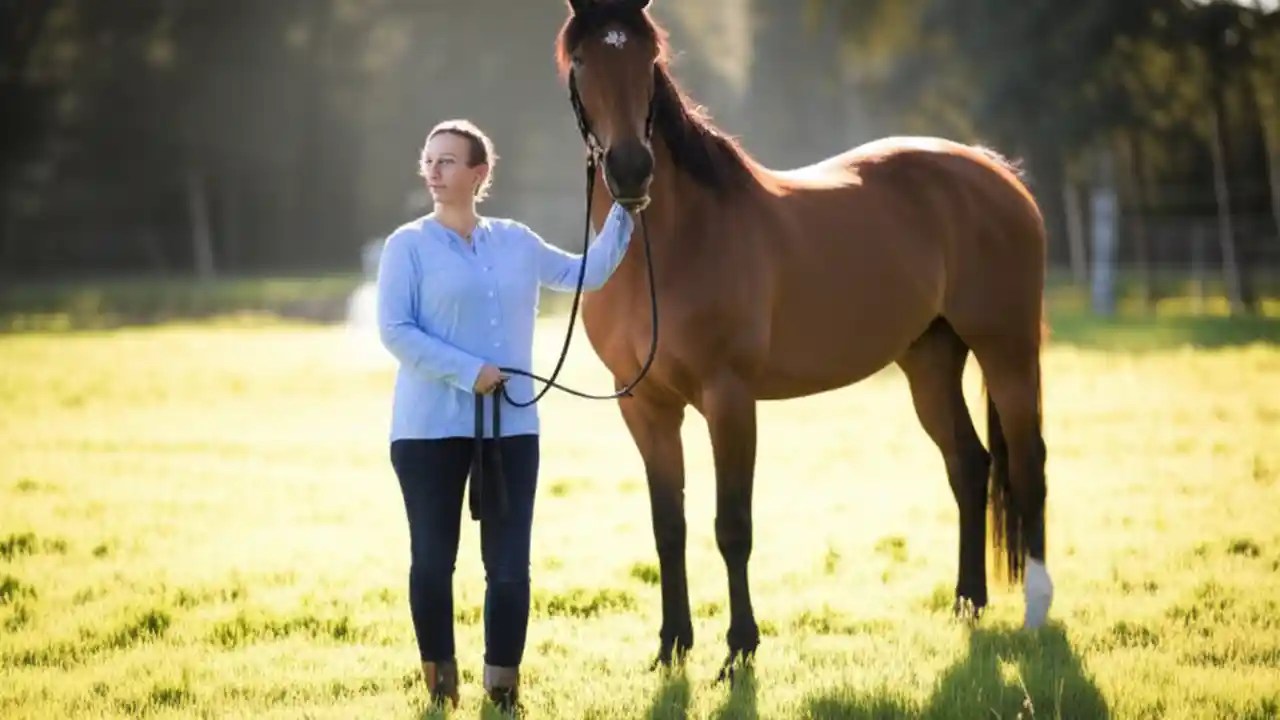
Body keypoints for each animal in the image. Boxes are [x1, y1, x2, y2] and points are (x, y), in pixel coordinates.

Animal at [554, 0, 1054, 679]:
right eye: (582, 59)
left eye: (648, 56)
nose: (631, 170)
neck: (673, 243)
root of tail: (995, 171)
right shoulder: (645, 406)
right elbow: (669, 527)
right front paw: (671, 646)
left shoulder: (729, 399)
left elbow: (732, 526)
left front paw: (739, 649)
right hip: (929, 361)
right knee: (969, 465)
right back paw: (966, 603)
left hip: (1007, 349)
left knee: (1027, 464)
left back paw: (1035, 610)